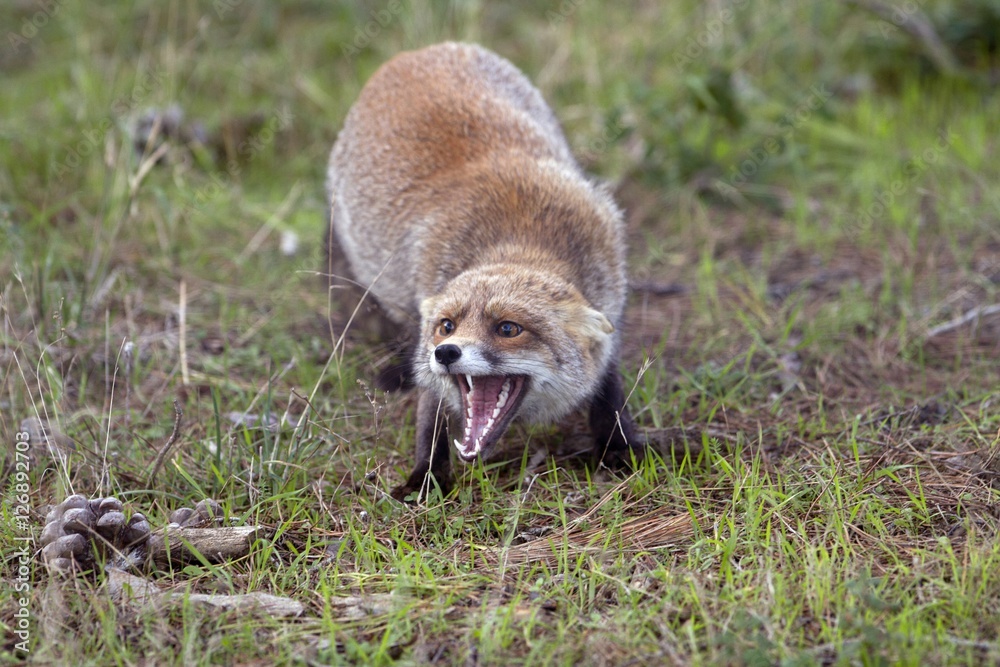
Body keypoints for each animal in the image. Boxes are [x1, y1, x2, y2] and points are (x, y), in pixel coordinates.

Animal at [326, 42, 644, 500]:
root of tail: (419, 51)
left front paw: (619, 447)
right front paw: (426, 477)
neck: (523, 238)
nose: (446, 353)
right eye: (447, 326)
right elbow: (431, 416)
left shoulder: (610, 302)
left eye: (508, 328)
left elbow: (608, 390)